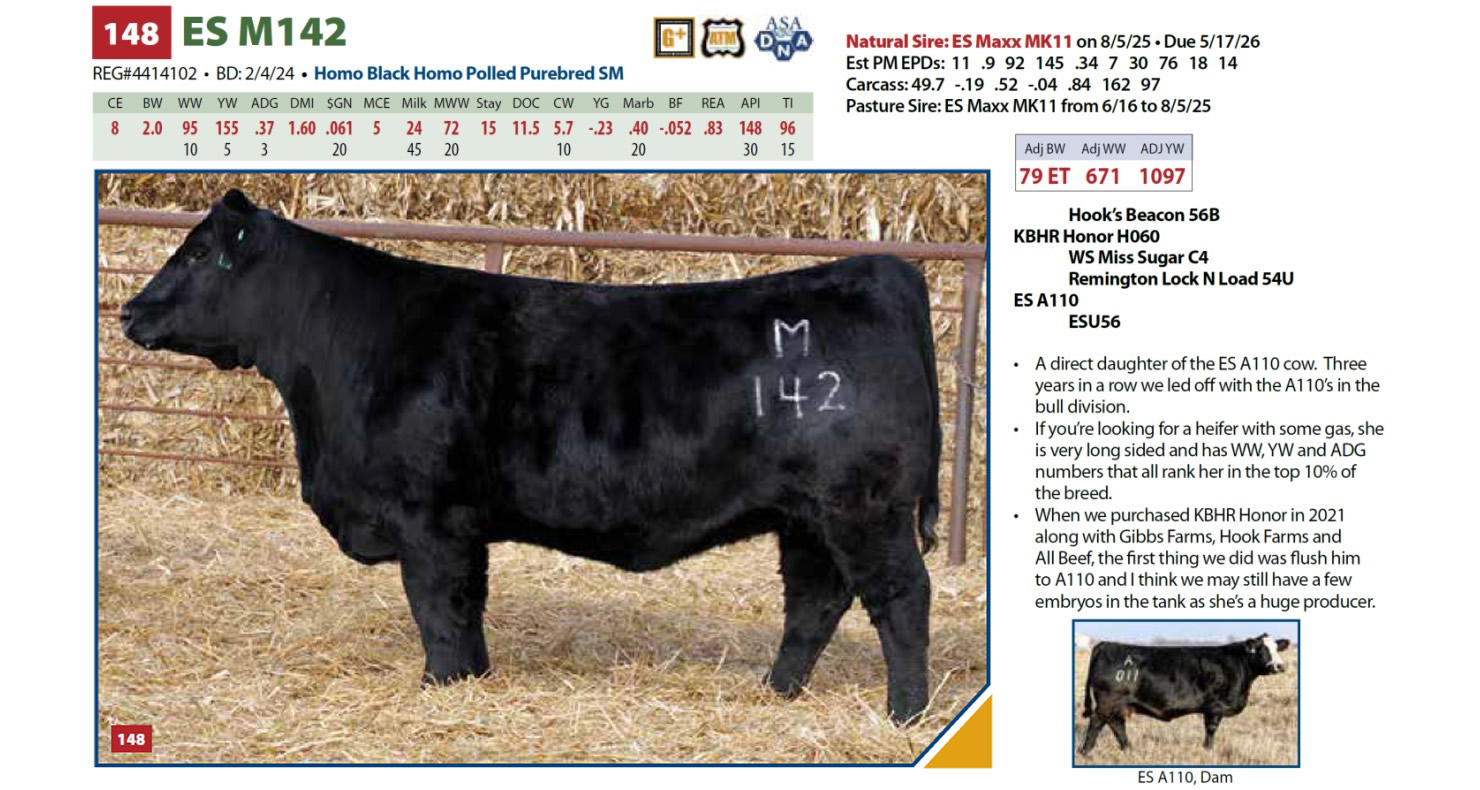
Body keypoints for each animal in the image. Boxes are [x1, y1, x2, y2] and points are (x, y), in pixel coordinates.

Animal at [119, 189, 943, 724]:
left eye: (199, 252)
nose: (130, 310)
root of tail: (882, 270)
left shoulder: (430, 518)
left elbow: (439, 608)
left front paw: (442, 687)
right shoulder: (460, 526)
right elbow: (468, 608)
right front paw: (472, 681)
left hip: (864, 508)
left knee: (900, 599)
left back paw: (904, 714)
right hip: (805, 519)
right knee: (814, 603)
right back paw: (776, 693)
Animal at [1078, 634, 1291, 755]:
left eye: (1277, 649)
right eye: (1262, 650)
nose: (1279, 666)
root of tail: (1105, 644)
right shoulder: (1215, 707)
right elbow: (1211, 730)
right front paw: (1208, 751)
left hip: (1118, 704)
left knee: (1115, 724)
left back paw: (1128, 749)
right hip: (1108, 701)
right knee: (1097, 722)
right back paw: (1085, 751)